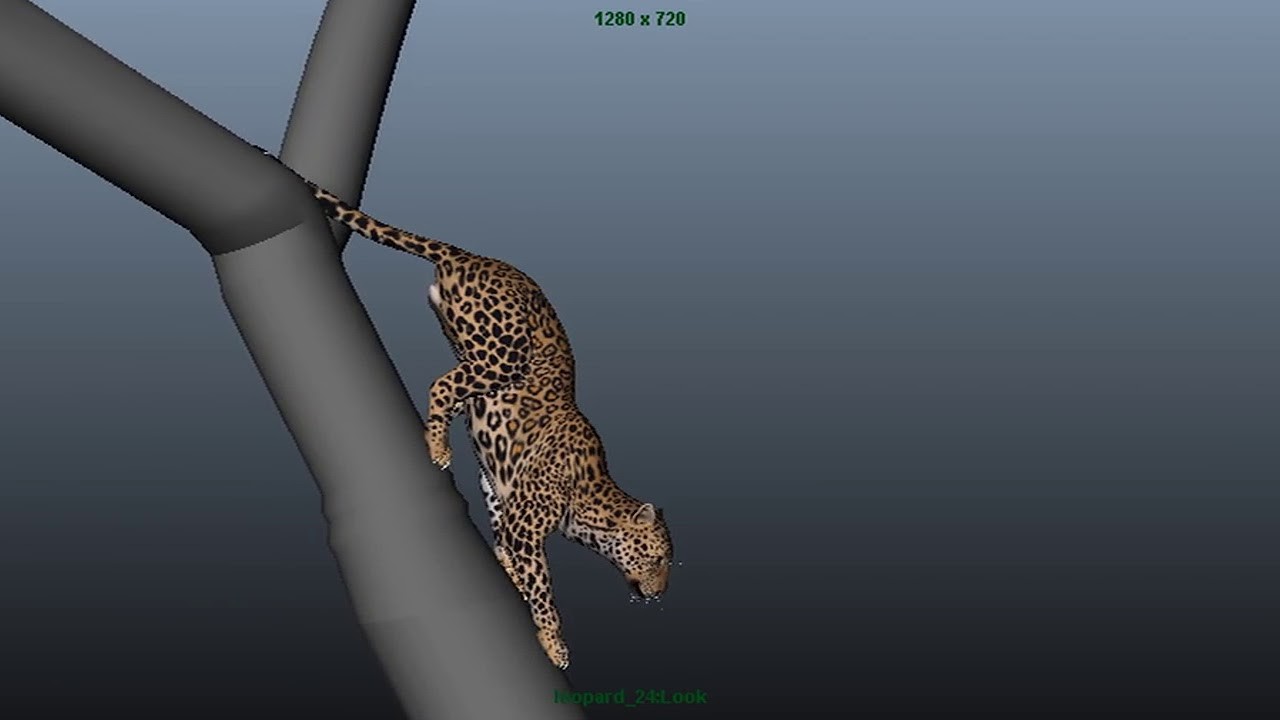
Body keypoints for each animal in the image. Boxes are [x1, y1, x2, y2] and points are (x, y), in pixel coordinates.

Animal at [269, 155, 674, 669]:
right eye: (658, 558)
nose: (659, 593)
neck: (591, 500)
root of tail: (469, 255)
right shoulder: (526, 525)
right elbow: (543, 588)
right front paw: (554, 642)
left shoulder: (504, 505)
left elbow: (506, 548)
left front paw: (512, 577)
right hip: (503, 352)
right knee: (442, 385)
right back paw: (438, 448)